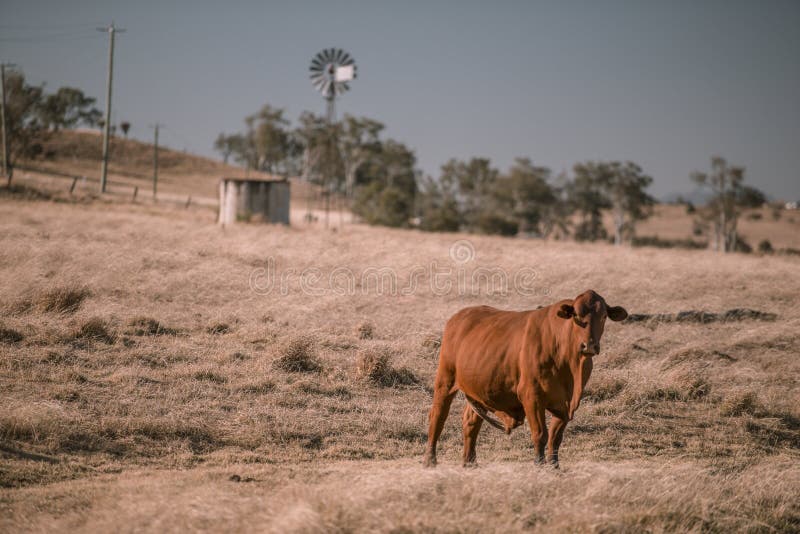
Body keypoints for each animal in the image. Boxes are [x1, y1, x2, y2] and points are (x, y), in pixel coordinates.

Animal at [423, 289, 628, 468]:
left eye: (603, 316)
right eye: (576, 316)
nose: (589, 346)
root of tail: (459, 316)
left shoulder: (566, 404)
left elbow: (555, 439)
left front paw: (554, 467)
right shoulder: (532, 397)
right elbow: (540, 434)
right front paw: (539, 464)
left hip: (478, 390)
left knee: (470, 422)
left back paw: (470, 463)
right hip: (445, 380)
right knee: (438, 417)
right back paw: (430, 460)